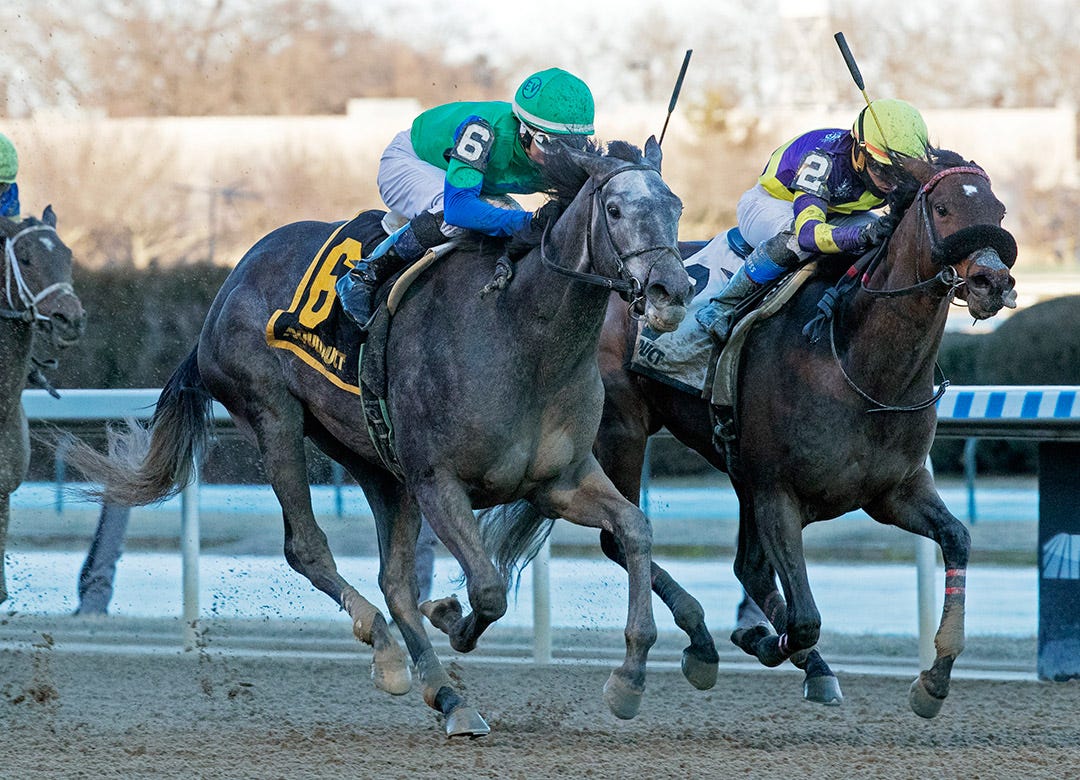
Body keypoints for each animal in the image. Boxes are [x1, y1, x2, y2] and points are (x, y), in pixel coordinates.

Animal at [64, 137, 706, 737]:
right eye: (616, 209)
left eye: (675, 206)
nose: (673, 291)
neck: (526, 336)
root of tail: (230, 283)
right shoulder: (438, 480)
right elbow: (488, 589)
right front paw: (450, 617)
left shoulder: (558, 481)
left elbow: (633, 529)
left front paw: (632, 677)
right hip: (274, 416)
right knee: (308, 548)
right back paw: (390, 651)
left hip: (372, 457)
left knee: (393, 580)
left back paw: (447, 695)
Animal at [594, 148, 1017, 719]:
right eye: (945, 208)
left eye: (998, 211)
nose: (993, 282)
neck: (857, 366)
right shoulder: (777, 491)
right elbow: (805, 619)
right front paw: (762, 640)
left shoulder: (894, 491)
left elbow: (958, 539)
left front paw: (934, 679)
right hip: (623, 429)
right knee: (620, 537)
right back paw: (695, 646)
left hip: (736, 470)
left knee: (747, 568)